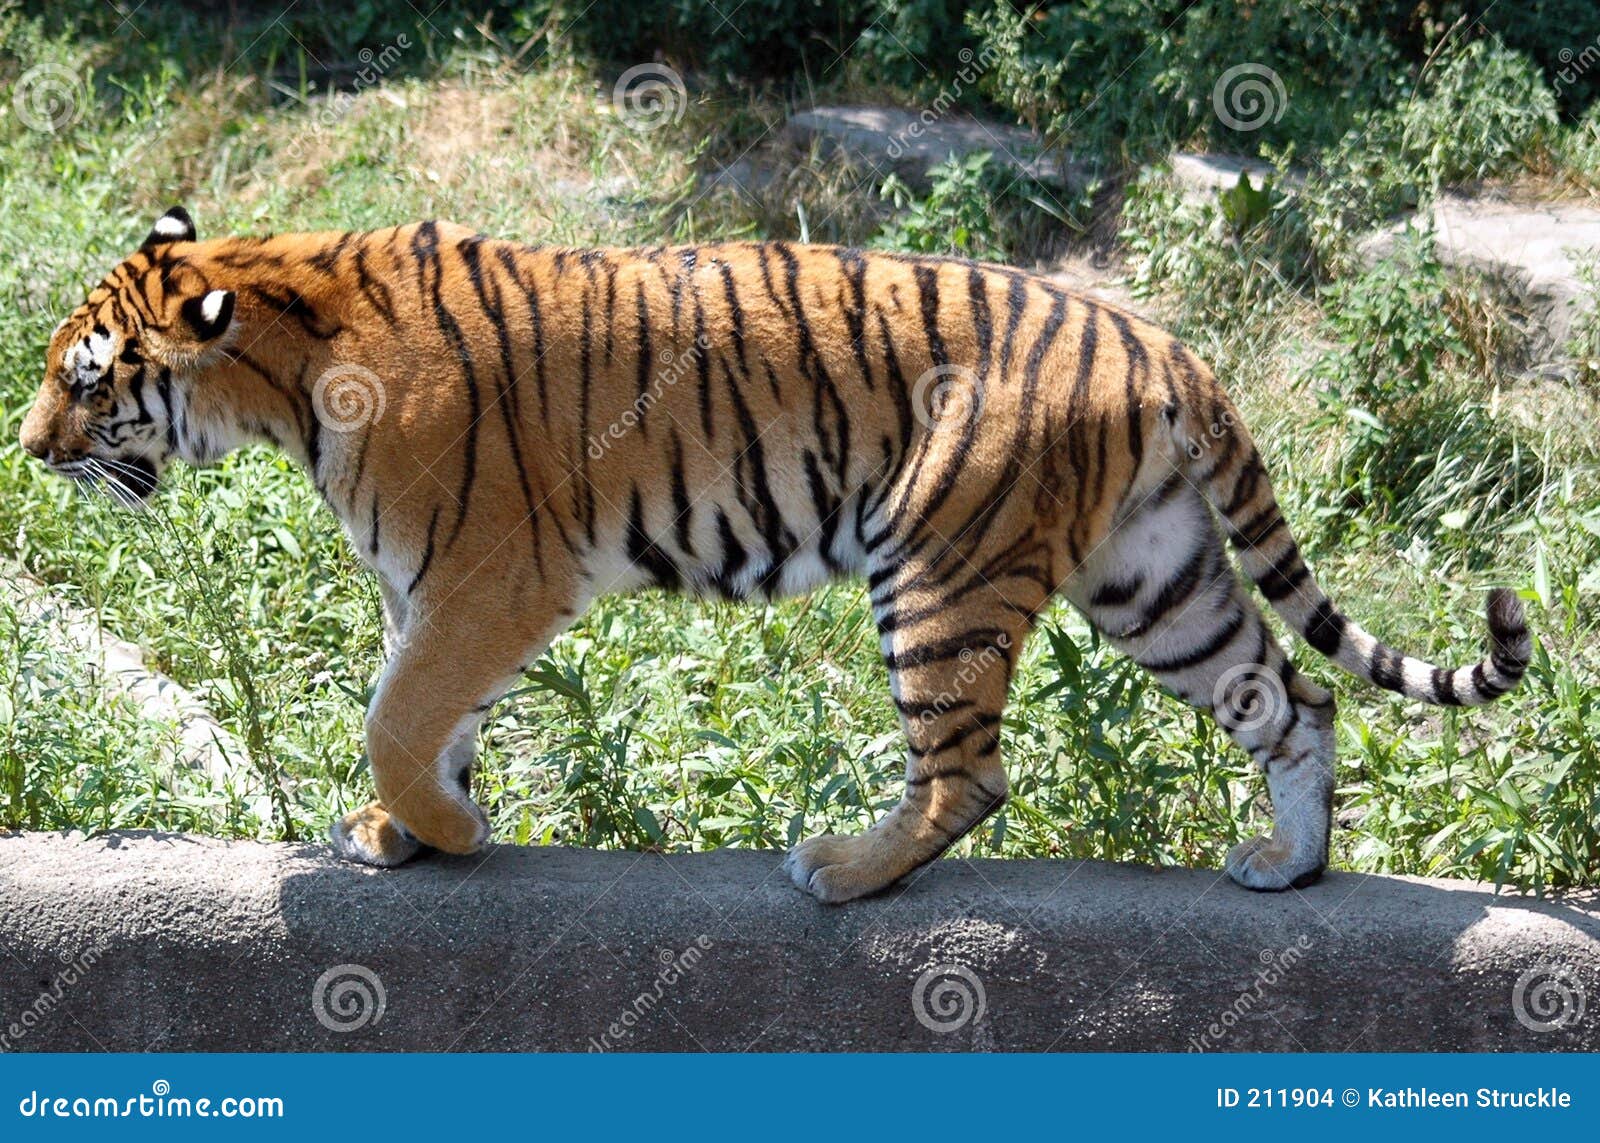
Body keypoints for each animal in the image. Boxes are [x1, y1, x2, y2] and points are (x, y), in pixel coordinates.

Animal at [20, 206, 1531, 901]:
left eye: (85, 381)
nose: (27, 449)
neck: (280, 364)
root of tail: (1155, 337)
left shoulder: (492, 576)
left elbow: (397, 714)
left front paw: (441, 831)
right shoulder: (435, 589)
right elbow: (428, 713)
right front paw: (412, 828)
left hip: (939, 565)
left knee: (970, 771)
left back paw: (843, 870)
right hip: (1154, 575)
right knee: (1295, 697)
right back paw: (1289, 866)